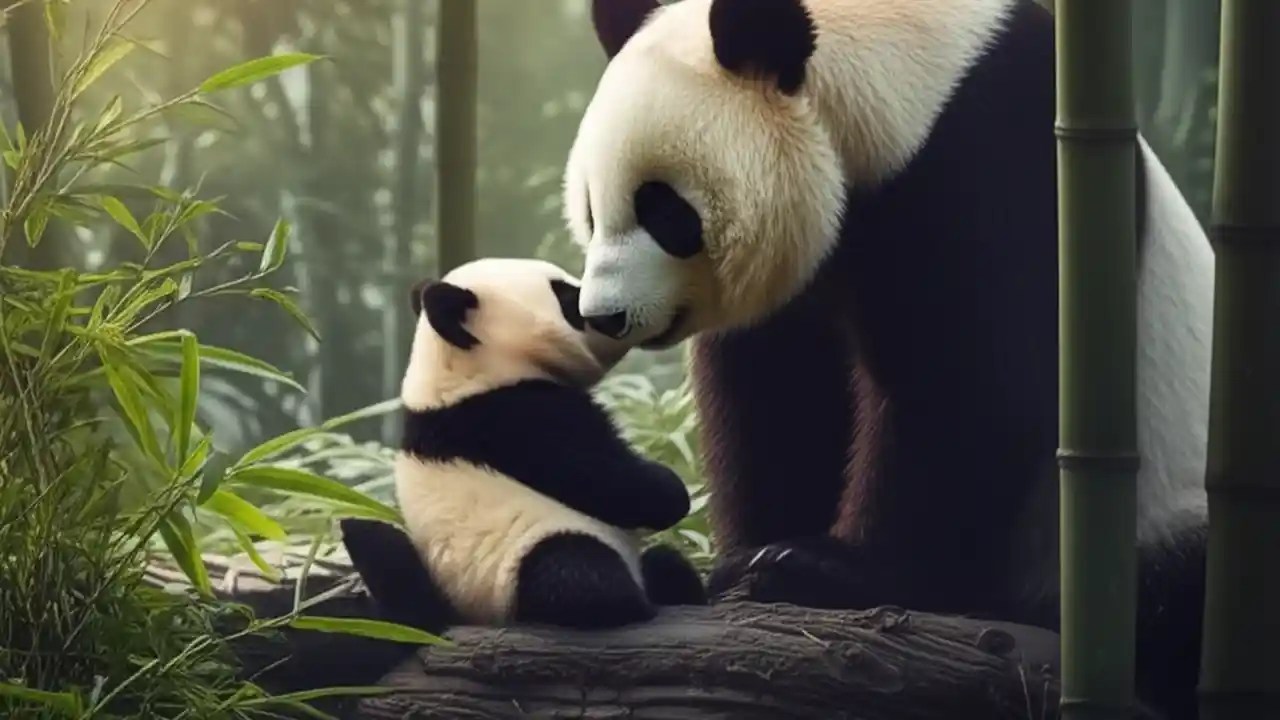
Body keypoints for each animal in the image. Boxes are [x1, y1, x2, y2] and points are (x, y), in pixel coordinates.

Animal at [349, 257, 706, 632]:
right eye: (567, 296)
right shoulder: (510, 416)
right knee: (574, 571)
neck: (459, 365)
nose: (615, 312)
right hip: (510, 568)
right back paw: (630, 605)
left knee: (662, 561)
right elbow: (599, 474)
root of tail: (476, 618)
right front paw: (673, 492)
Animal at [563, 1, 1211, 718]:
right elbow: (777, 396)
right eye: (590, 209)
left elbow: (969, 389)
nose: (603, 315)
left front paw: (827, 569)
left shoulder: (1004, 162)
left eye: (664, 210)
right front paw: (751, 559)